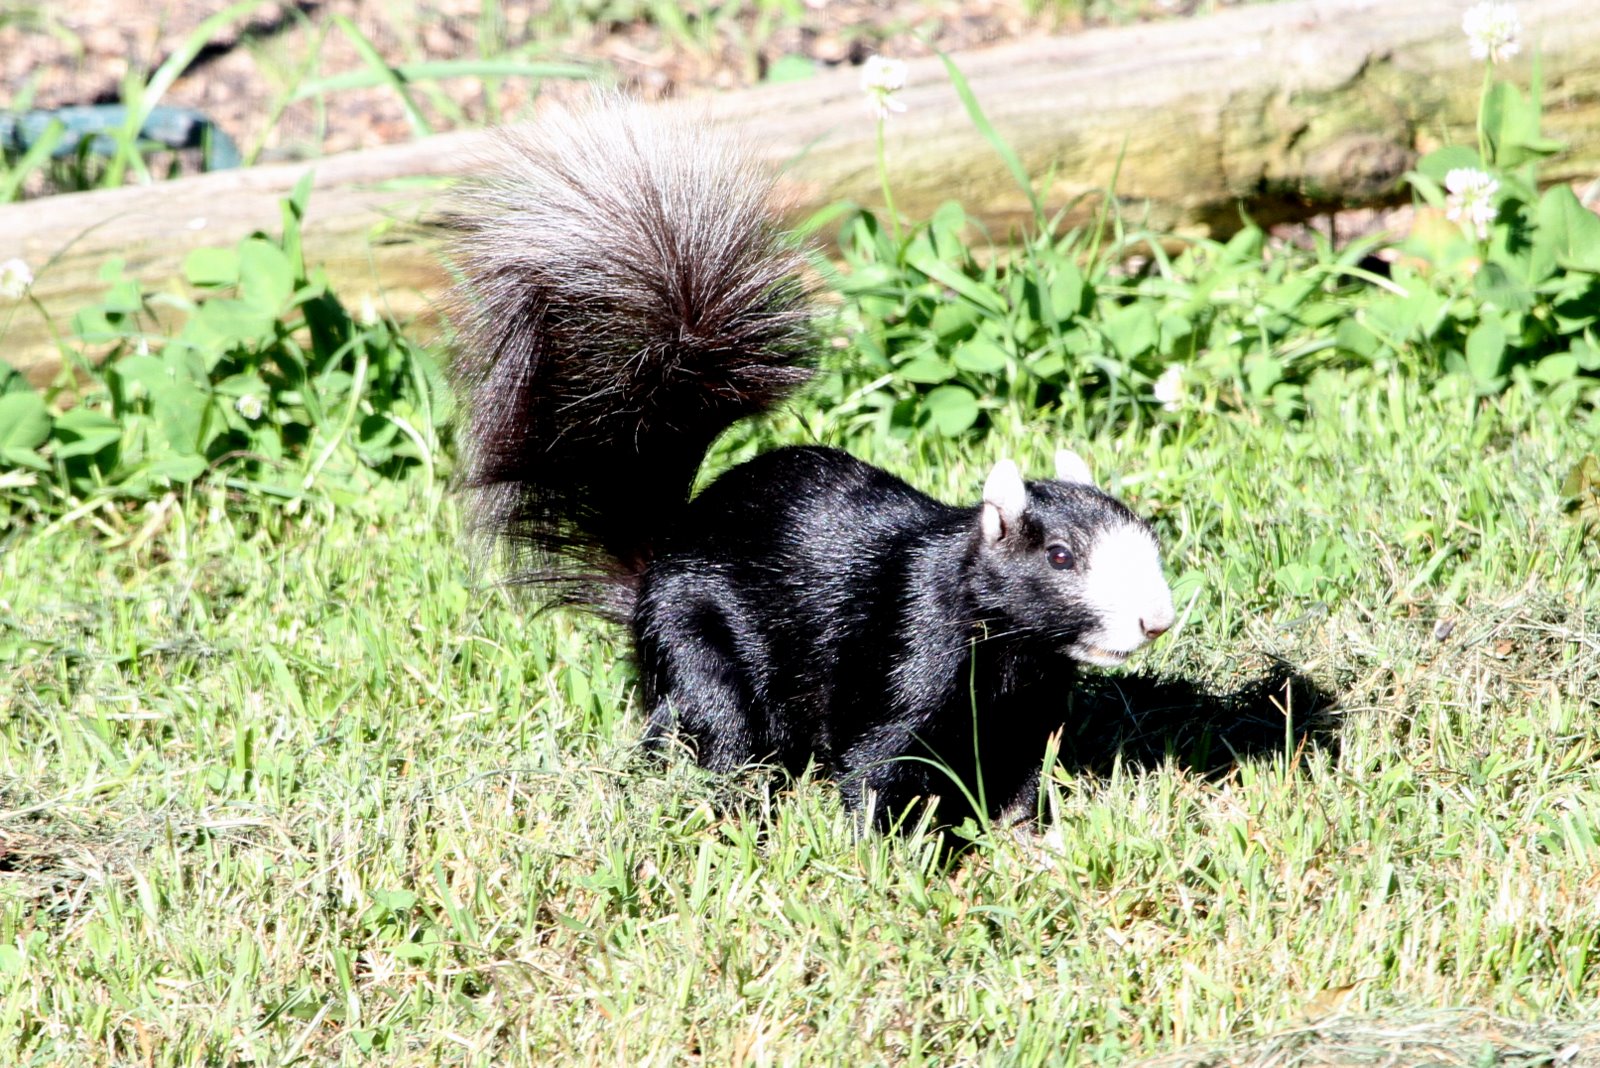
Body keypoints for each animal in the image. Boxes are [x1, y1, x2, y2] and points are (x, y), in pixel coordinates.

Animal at [452, 97, 1177, 832]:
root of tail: (652, 569)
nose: (1156, 620)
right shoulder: (907, 659)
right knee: (716, 726)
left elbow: (1023, 778)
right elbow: (875, 766)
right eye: (1059, 556)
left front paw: (1025, 839)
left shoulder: (1026, 710)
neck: (1013, 657)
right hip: (698, 642)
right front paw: (879, 850)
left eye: (1150, 539)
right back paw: (735, 805)